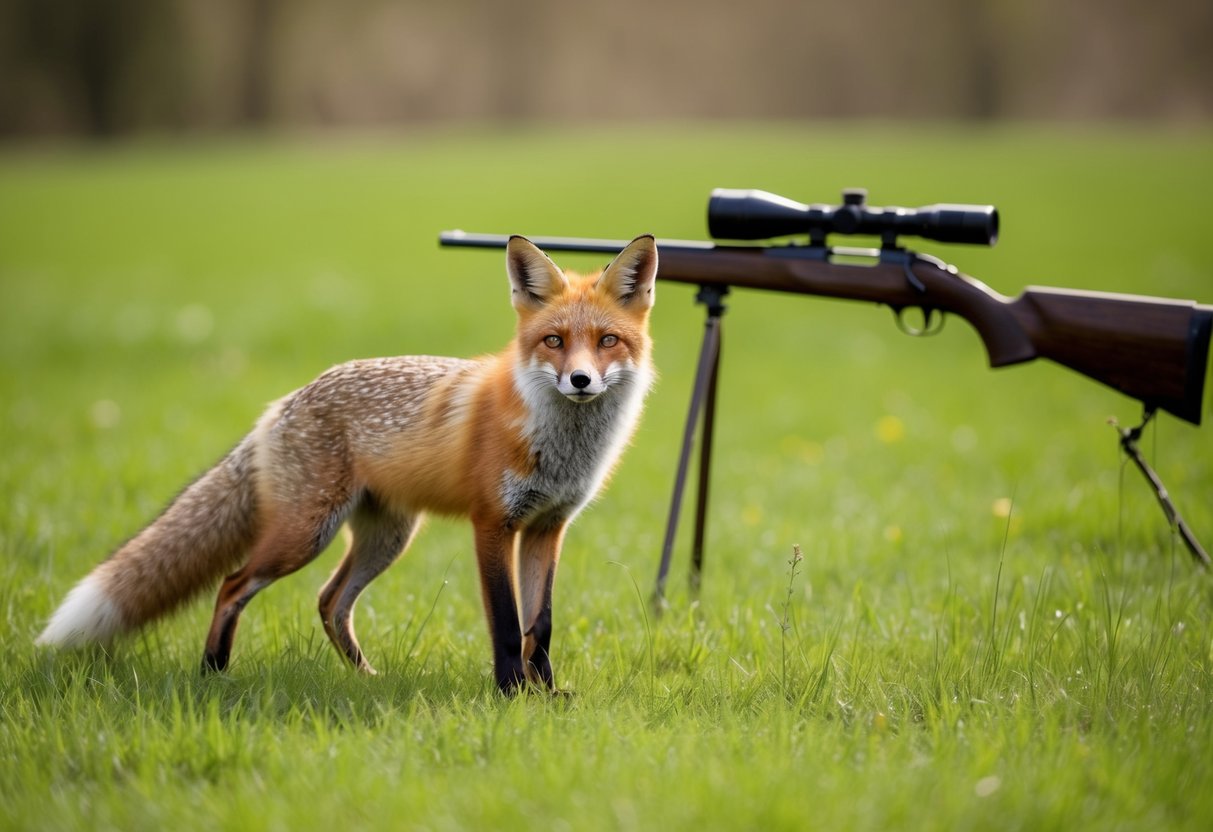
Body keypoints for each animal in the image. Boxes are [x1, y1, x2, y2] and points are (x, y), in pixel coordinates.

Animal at [37, 234, 658, 694]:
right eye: (554, 341)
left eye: (607, 341)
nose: (580, 380)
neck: (559, 444)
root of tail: (284, 403)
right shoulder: (492, 524)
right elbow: (507, 625)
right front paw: (510, 694)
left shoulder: (547, 528)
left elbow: (540, 626)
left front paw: (546, 694)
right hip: (305, 534)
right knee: (233, 583)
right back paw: (213, 672)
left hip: (386, 538)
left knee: (330, 602)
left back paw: (365, 677)